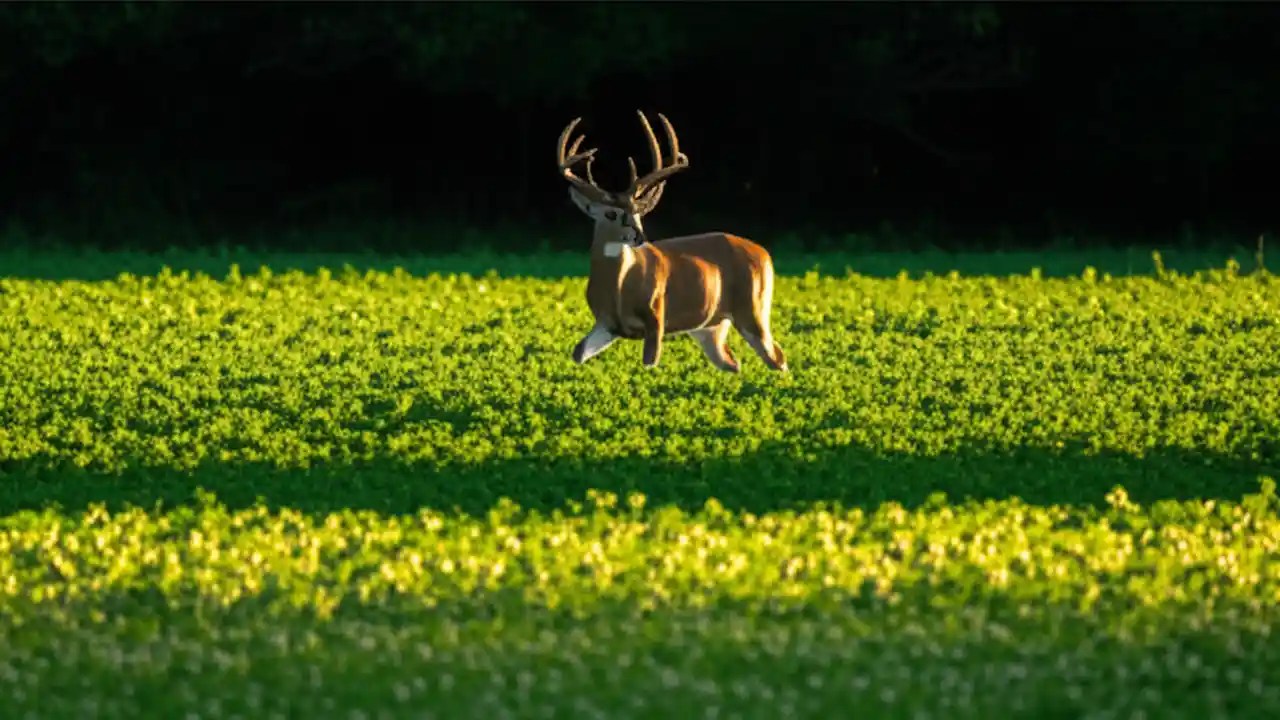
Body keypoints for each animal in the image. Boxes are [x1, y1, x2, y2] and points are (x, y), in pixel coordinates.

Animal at [555, 110, 787, 373]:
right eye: (611, 214)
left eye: (639, 213)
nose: (640, 237)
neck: (618, 291)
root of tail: (764, 253)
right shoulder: (606, 324)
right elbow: (578, 353)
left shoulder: (656, 315)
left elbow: (650, 361)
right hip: (710, 326)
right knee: (732, 362)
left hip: (754, 308)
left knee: (777, 357)